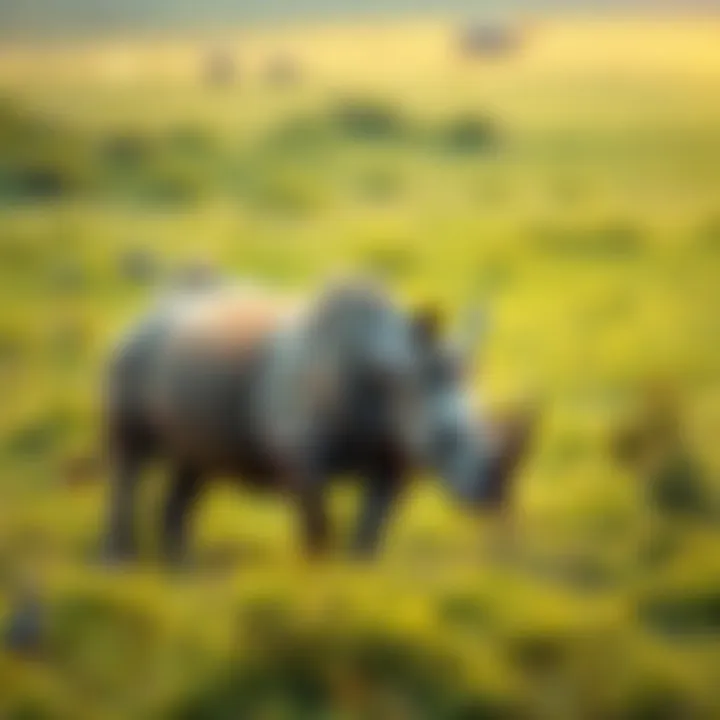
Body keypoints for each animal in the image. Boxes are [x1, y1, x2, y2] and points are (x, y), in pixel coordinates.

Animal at [102, 276, 535, 565]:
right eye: (445, 437)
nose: (495, 496)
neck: (392, 372)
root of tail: (138, 318)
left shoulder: (392, 455)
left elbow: (370, 530)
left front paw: (360, 577)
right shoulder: (300, 452)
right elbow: (318, 524)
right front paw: (315, 575)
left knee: (193, 466)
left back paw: (181, 567)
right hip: (130, 356)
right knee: (130, 458)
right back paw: (121, 562)